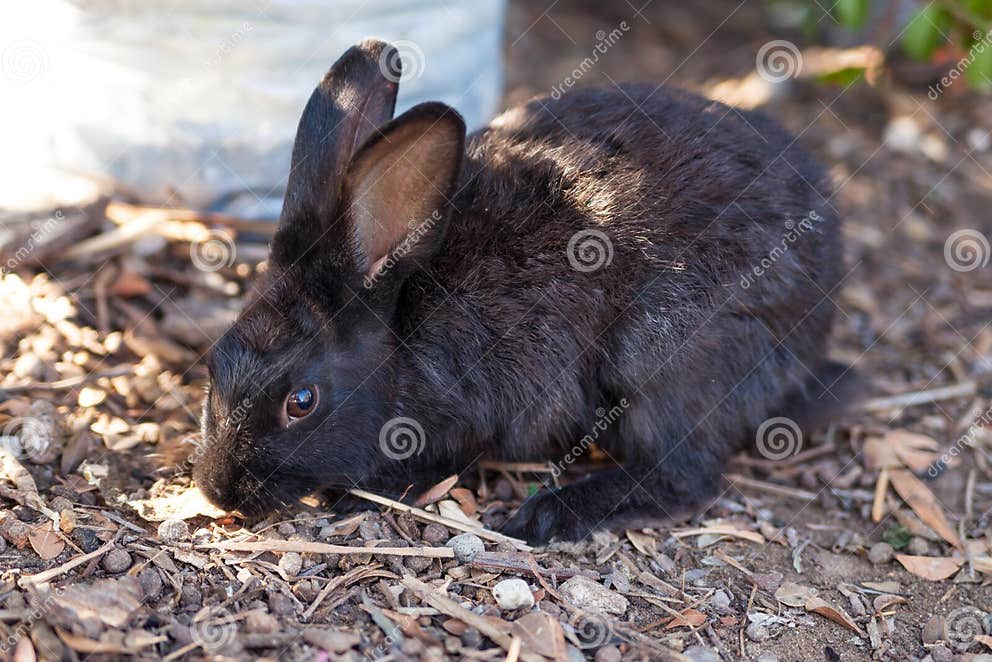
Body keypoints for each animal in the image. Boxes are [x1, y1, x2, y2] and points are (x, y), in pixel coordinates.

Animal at [193, 38, 850, 545]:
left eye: (301, 401)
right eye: (212, 364)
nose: (218, 489)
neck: (401, 324)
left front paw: (365, 493)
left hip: (664, 356)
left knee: (684, 475)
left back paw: (550, 513)